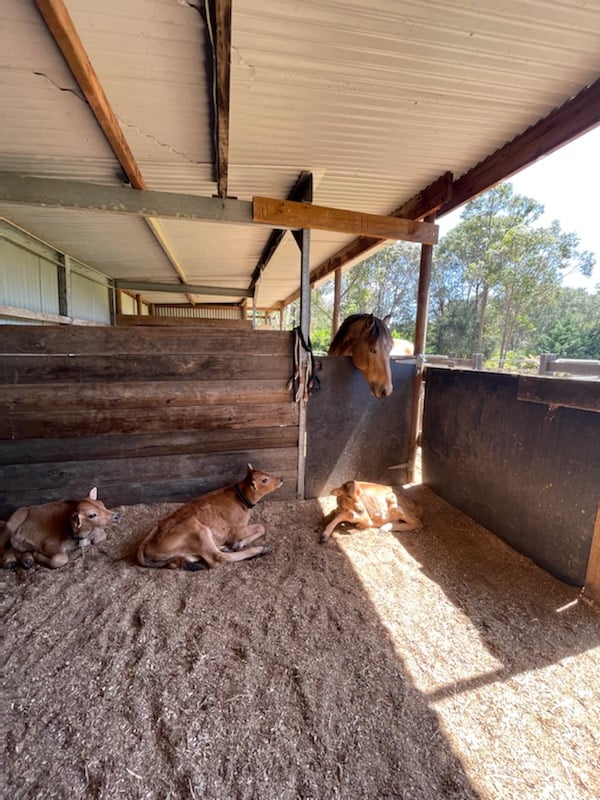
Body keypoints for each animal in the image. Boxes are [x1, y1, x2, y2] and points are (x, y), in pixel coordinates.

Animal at [137, 464, 283, 571]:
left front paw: (238, 543)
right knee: (217, 559)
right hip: (198, 530)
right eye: (264, 480)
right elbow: (261, 527)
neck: (241, 498)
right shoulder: (235, 530)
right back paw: (261, 549)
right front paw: (239, 543)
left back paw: (225, 547)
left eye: (265, 471)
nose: (281, 479)